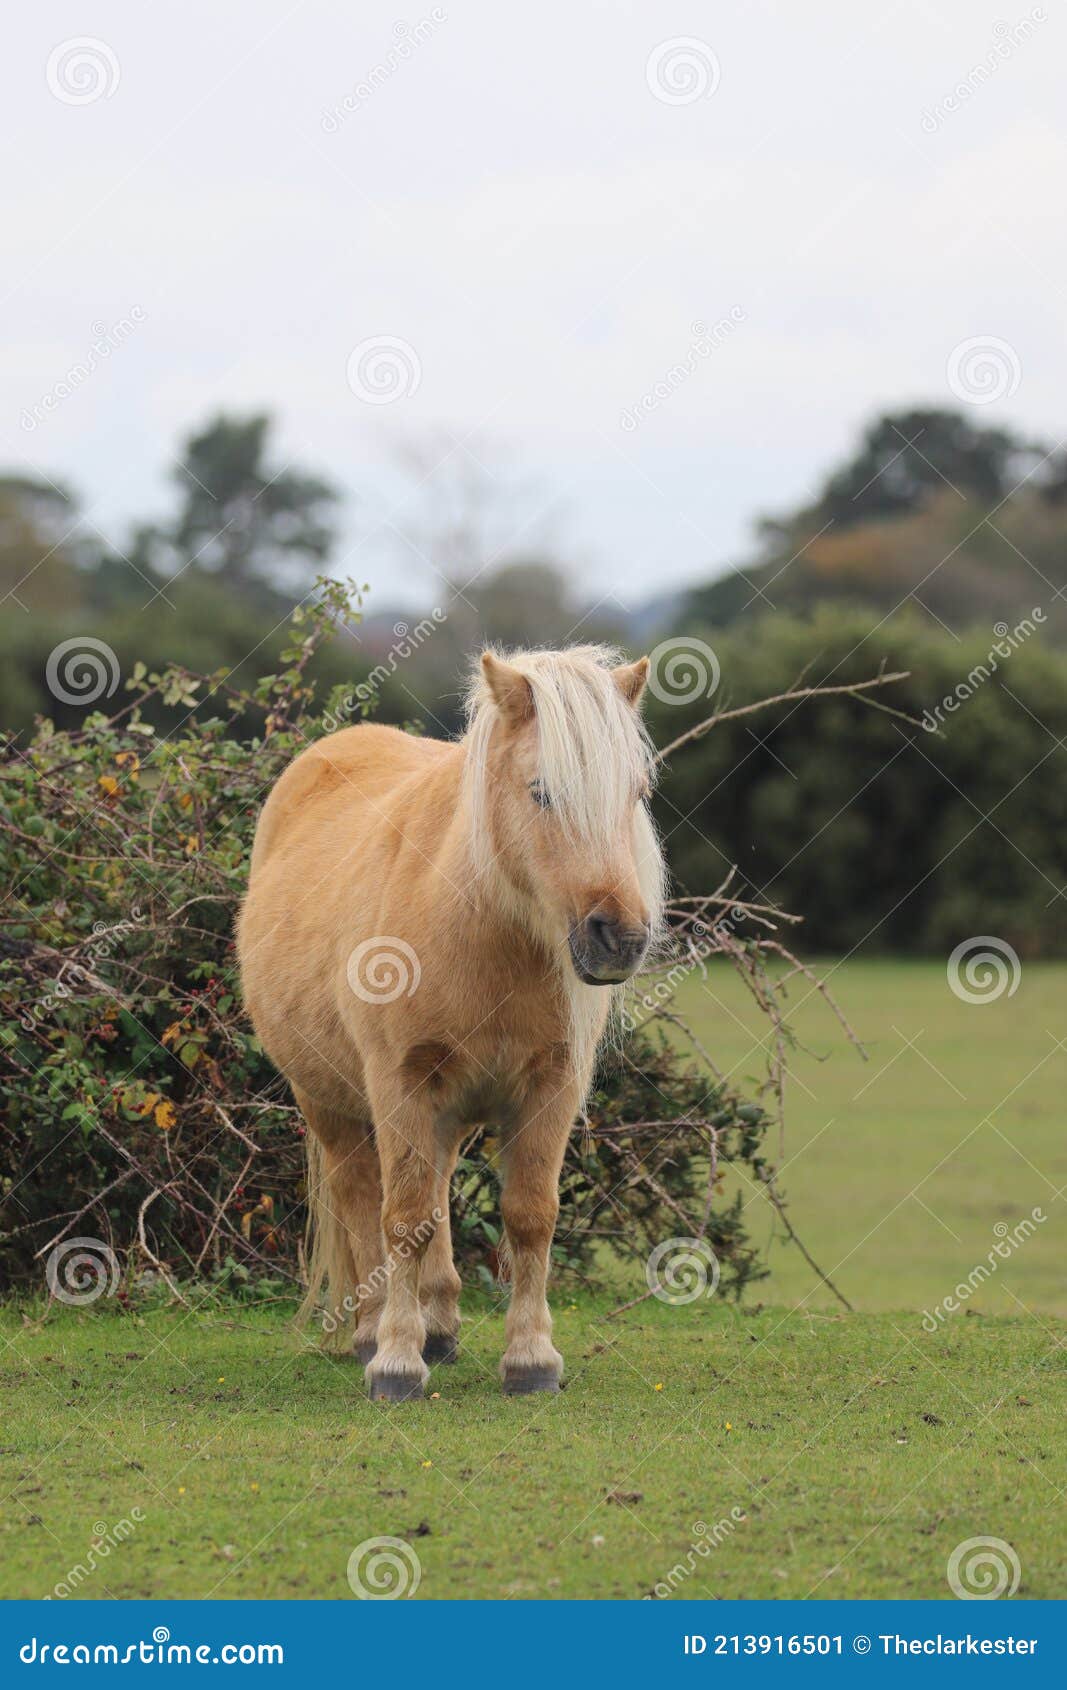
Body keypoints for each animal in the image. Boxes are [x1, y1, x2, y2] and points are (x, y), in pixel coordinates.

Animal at [237, 644, 666, 1401]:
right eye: (542, 792)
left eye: (636, 793)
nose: (619, 938)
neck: (486, 932)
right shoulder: (400, 1084)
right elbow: (402, 1220)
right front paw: (395, 1364)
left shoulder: (549, 1087)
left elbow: (528, 1215)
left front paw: (530, 1358)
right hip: (329, 1103)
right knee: (361, 1196)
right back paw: (374, 1331)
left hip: (445, 1114)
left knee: (433, 1192)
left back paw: (437, 1328)